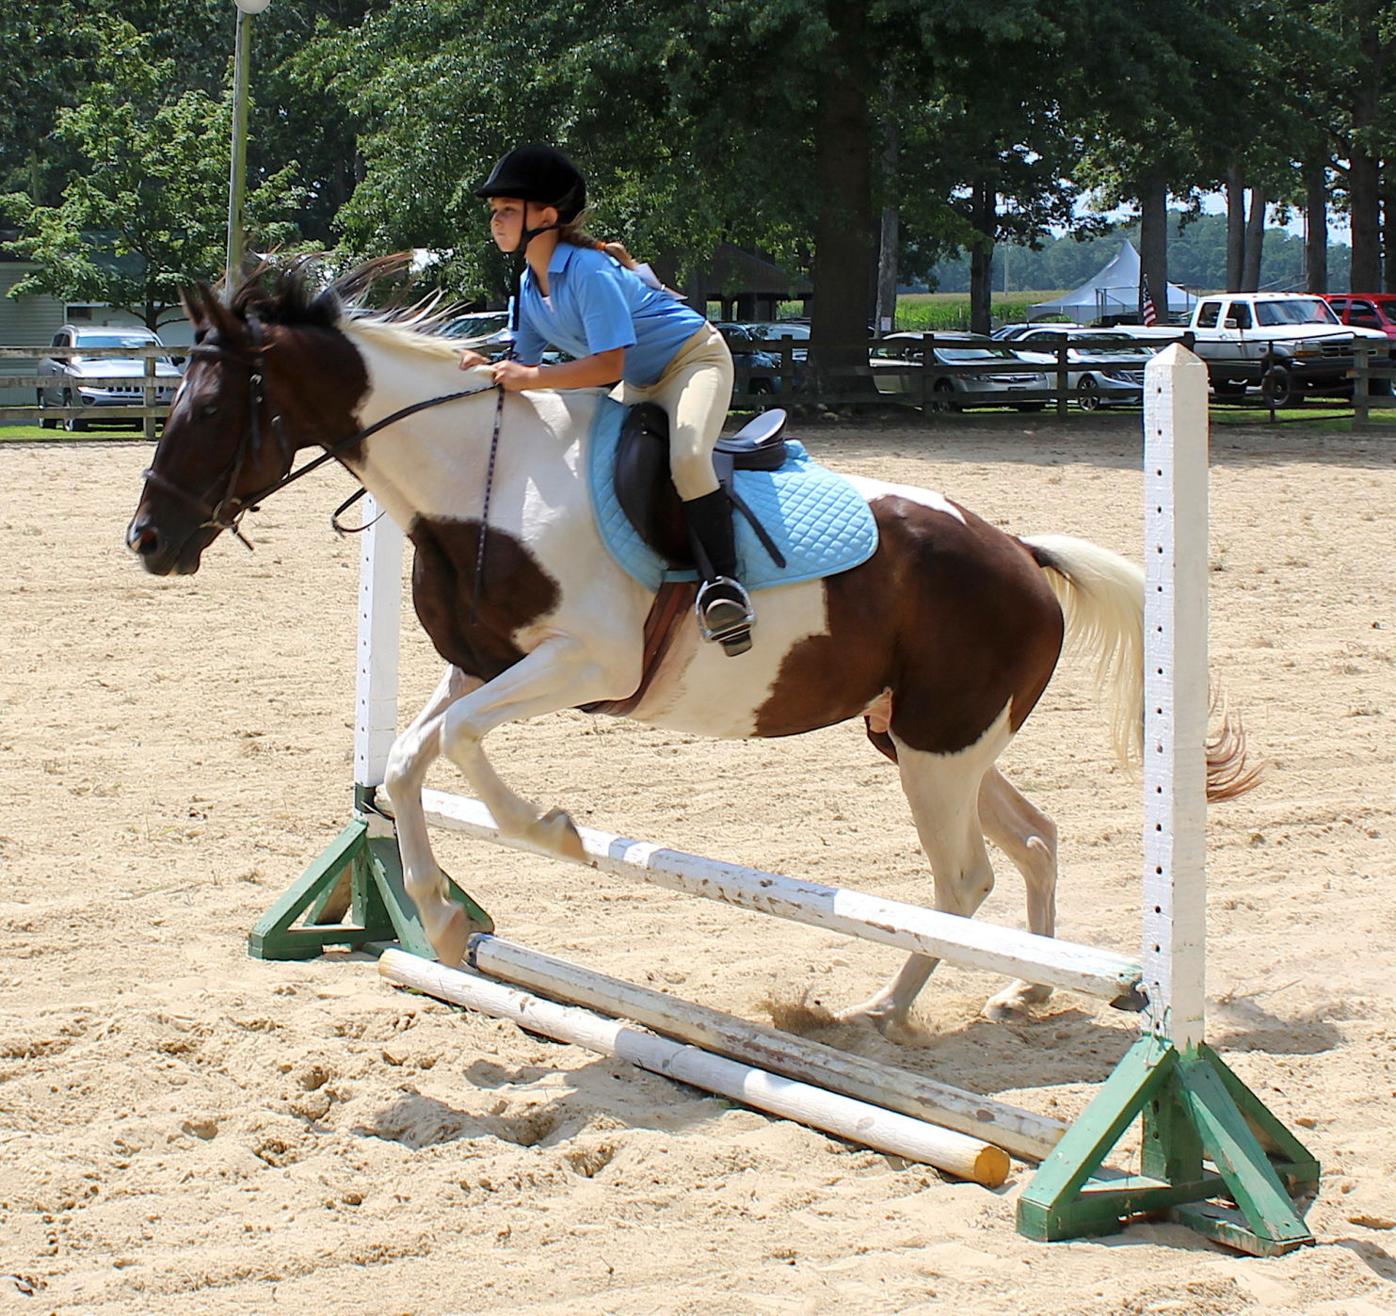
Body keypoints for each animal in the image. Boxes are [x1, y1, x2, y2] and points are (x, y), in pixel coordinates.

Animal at [126, 261, 1255, 1040]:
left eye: (213, 408)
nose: (147, 541)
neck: (480, 484)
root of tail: (1019, 551)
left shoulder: (584, 665)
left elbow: (457, 751)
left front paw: (550, 835)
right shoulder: (483, 666)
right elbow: (409, 759)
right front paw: (444, 920)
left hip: (937, 751)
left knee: (963, 881)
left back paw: (882, 1010)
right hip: (924, 737)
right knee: (1032, 839)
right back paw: (1020, 985)